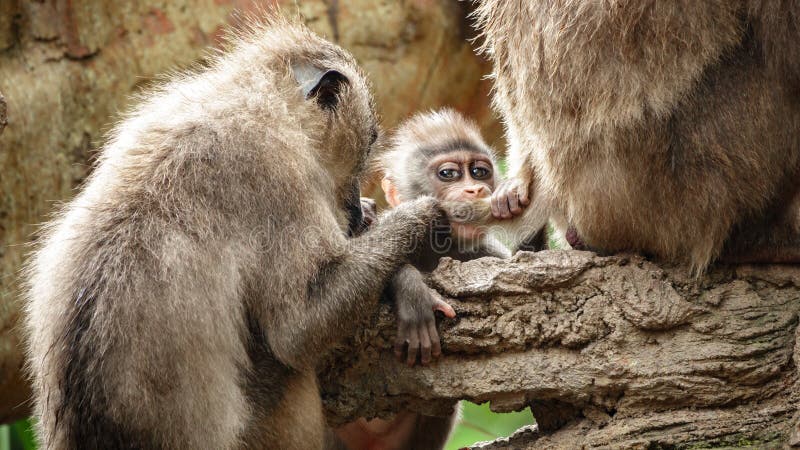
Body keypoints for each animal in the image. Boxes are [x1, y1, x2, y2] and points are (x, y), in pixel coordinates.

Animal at [23, 16, 448, 450]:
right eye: (368, 144)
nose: (352, 207)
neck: (261, 100)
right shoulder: (277, 173)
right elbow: (298, 330)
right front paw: (419, 220)